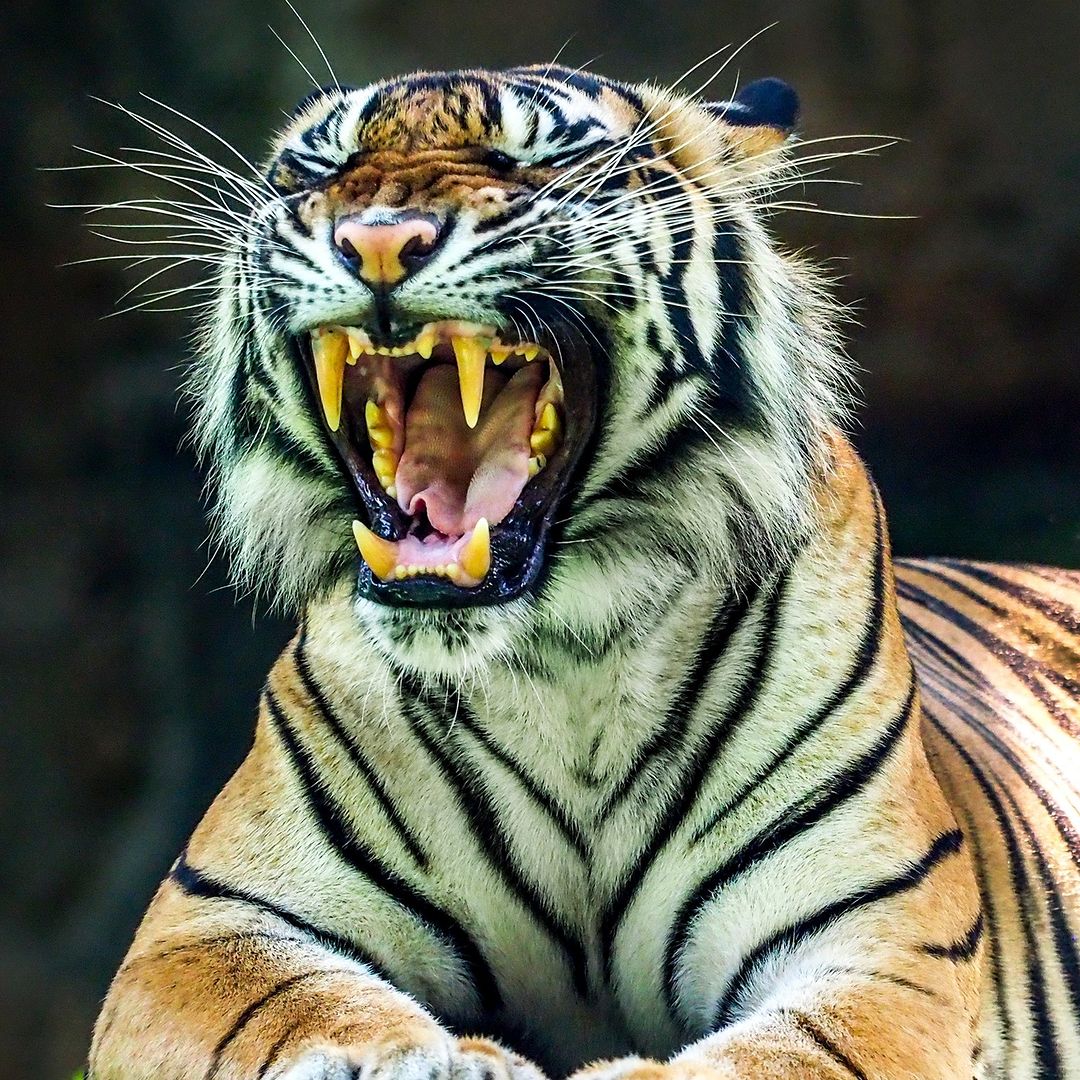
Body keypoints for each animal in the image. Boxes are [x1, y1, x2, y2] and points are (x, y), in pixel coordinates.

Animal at [85, 62, 1080, 1080]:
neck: (564, 662)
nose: (378, 241)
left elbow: (780, 1056)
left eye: (538, 160)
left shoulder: (877, 947)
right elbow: (293, 1004)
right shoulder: (209, 923)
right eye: (316, 169)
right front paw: (427, 1060)